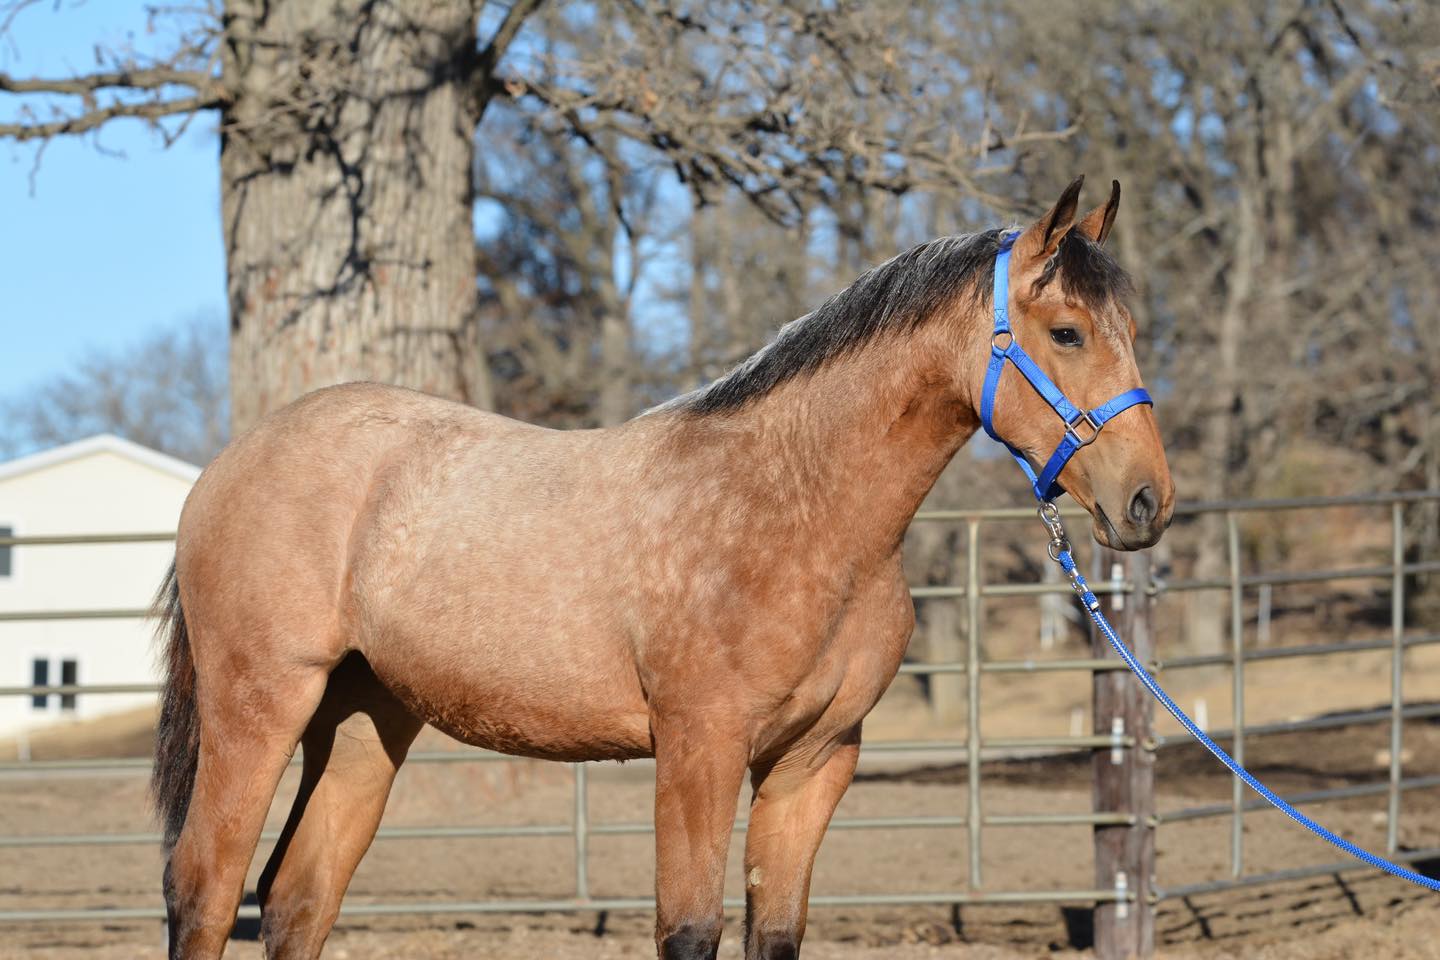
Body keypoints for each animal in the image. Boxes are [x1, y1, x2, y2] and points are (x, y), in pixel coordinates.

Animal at [151, 175, 1174, 960]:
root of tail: (225, 468)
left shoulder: (812, 764)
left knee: (296, 897)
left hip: (366, 720)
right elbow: (688, 933)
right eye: (1068, 332)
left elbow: (775, 934)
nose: (1146, 502)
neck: (794, 508)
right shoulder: (697, 751)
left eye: (1131, 325)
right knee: (204, 889)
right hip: (261, 706)